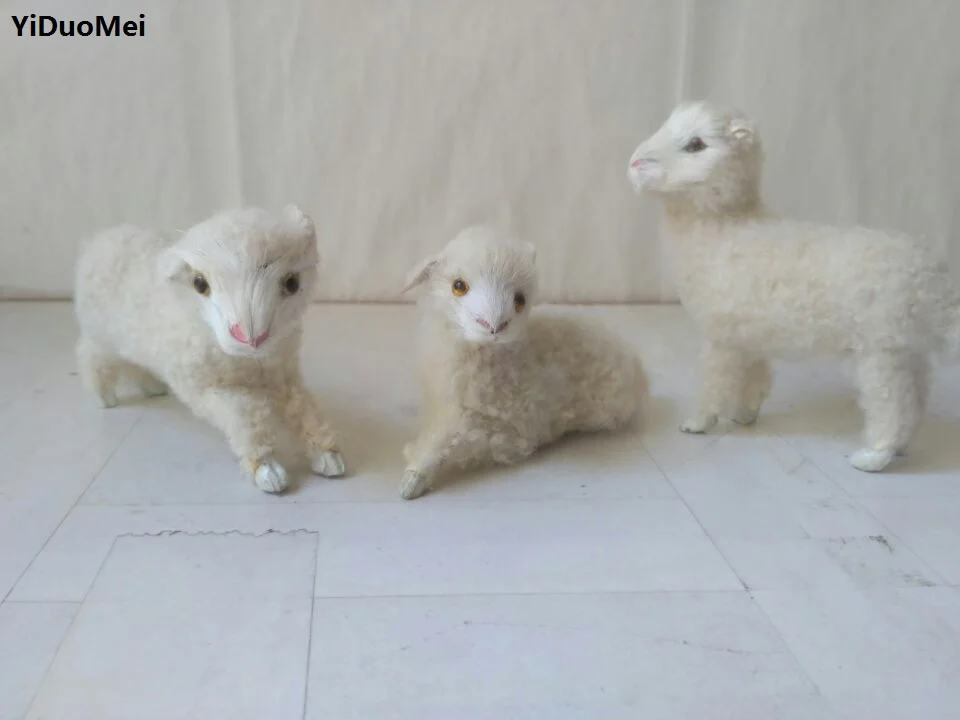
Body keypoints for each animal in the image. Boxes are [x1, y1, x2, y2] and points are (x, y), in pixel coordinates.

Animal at [74, 205, 346, 493]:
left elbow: (305, 408)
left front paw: (327, 455)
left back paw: (152, 388)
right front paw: (266, 469)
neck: (248, 362)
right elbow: (243, 418)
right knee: (91, 358)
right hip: (99, 336)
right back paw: (105, 398)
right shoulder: (207, 389)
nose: (251, 338)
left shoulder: (282, 376)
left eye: (292, 283)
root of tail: (102, 238)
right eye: (200, 284)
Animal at [399, 226, 647, 500]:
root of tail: (637, 368)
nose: (495, 326)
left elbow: (449, 441)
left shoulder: (496, 429)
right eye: (458, 286)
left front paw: (413, 479)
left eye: (520, 300)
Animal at [627, 100, 960, 473]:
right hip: (909, 353)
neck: (729, 224)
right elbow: (754, 380)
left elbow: (715, 384)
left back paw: (871, 457)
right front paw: (744, 416)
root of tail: (934, 278)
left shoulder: (720, 340)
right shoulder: (748, 339)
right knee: (916, 402)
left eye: (696, 144)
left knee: (893, 408)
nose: (635, 162)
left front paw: (697, 423)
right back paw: (900, 449)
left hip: (880, 355)